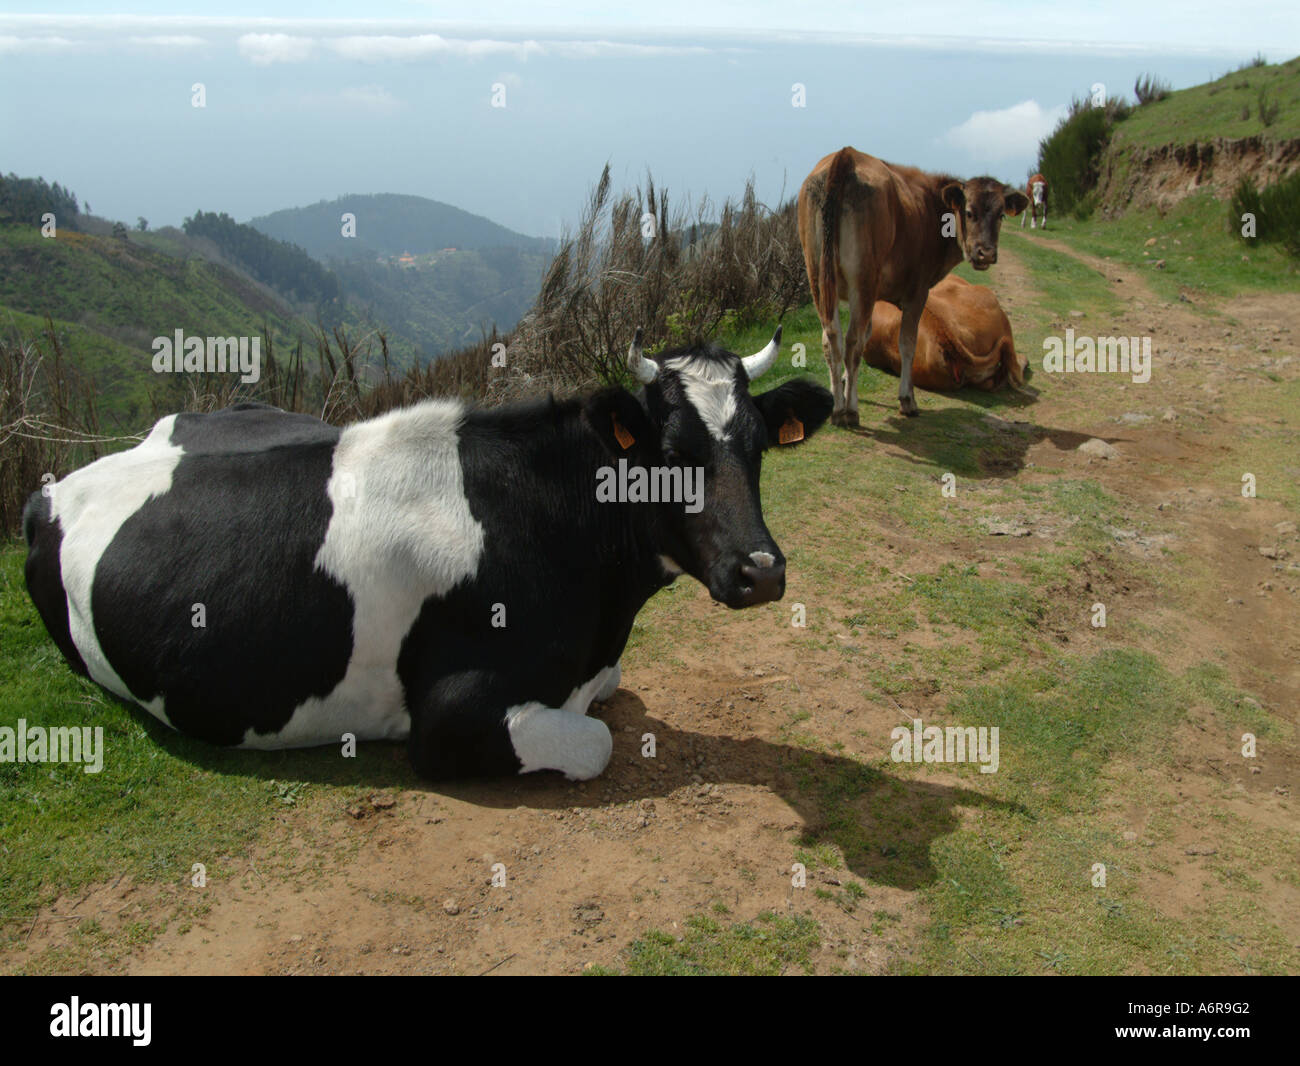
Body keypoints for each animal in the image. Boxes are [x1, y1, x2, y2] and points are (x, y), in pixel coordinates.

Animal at [22, 332, 831, 782]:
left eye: (758, 446)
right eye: (669, 455)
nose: (761, 571)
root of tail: (55, 485)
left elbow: (611, 690)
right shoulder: (448, 716)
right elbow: (597, 742)